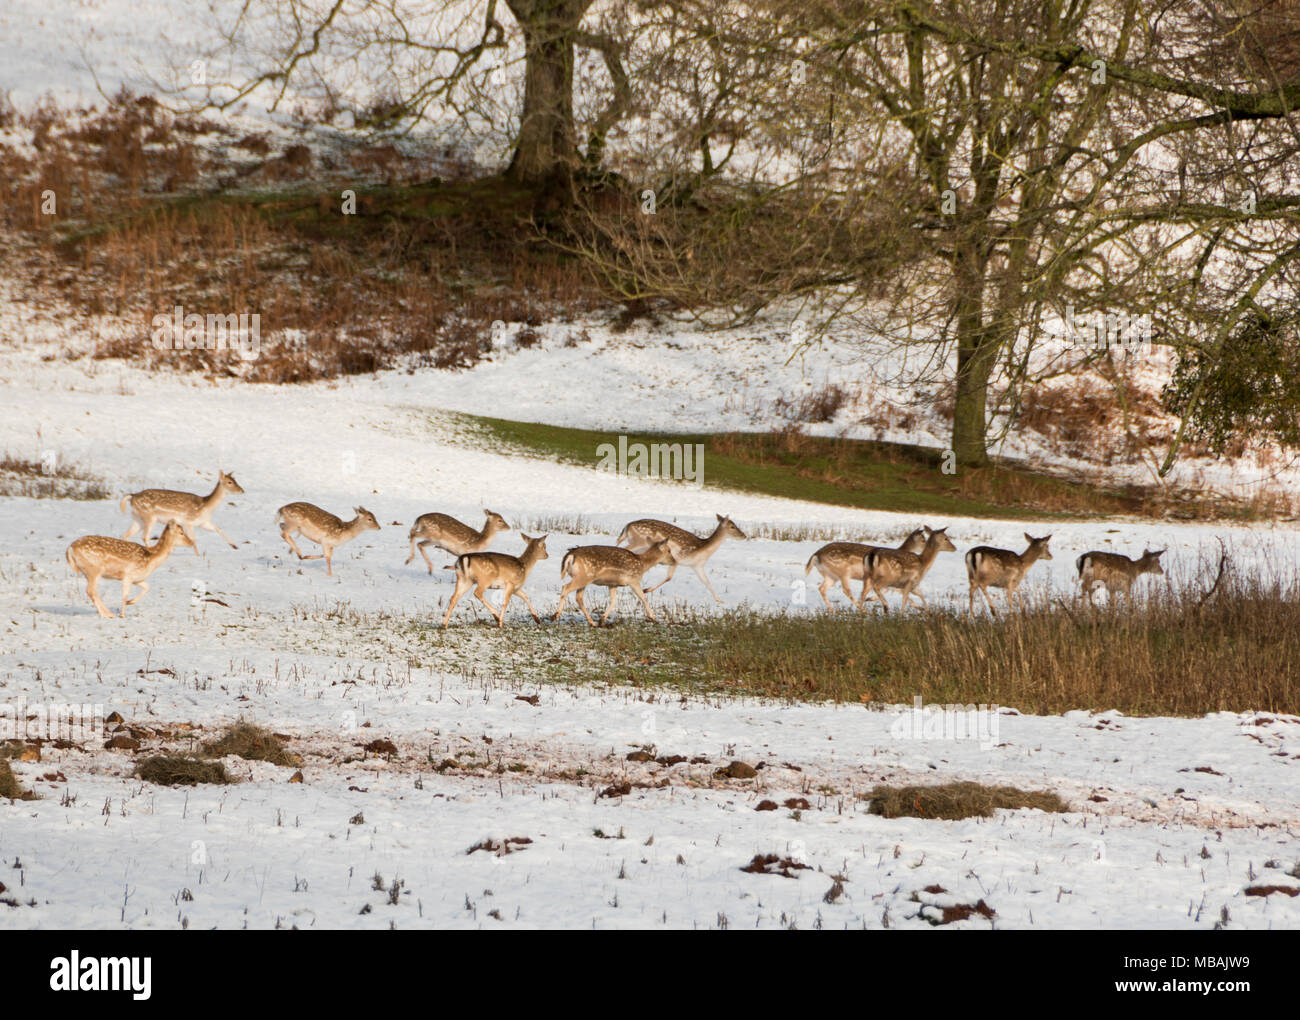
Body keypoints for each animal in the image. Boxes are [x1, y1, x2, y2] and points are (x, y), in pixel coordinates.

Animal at [66, 521, 196, 618]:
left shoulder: (137, 578)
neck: (151, 558)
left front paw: (130, 602)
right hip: (94, 570)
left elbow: (147, 587)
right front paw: (123, 615)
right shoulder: (128, 575)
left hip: (88, 572)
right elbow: (125, 595)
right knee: (91, 591)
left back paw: (107, 613)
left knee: (92, 591)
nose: (191, 542)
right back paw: (107, 614)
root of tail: (70, 549)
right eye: (181, 533)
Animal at [616, 514, 745, 603]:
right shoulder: (678, 559)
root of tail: (627, 526)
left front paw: (719, 600)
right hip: (638, 542)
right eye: (732, 526)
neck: (702, 550)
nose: (744, 535)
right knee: (622, 547)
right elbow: (669, 578)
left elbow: (706, 581)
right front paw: (646, 590)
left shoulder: (697, 566)